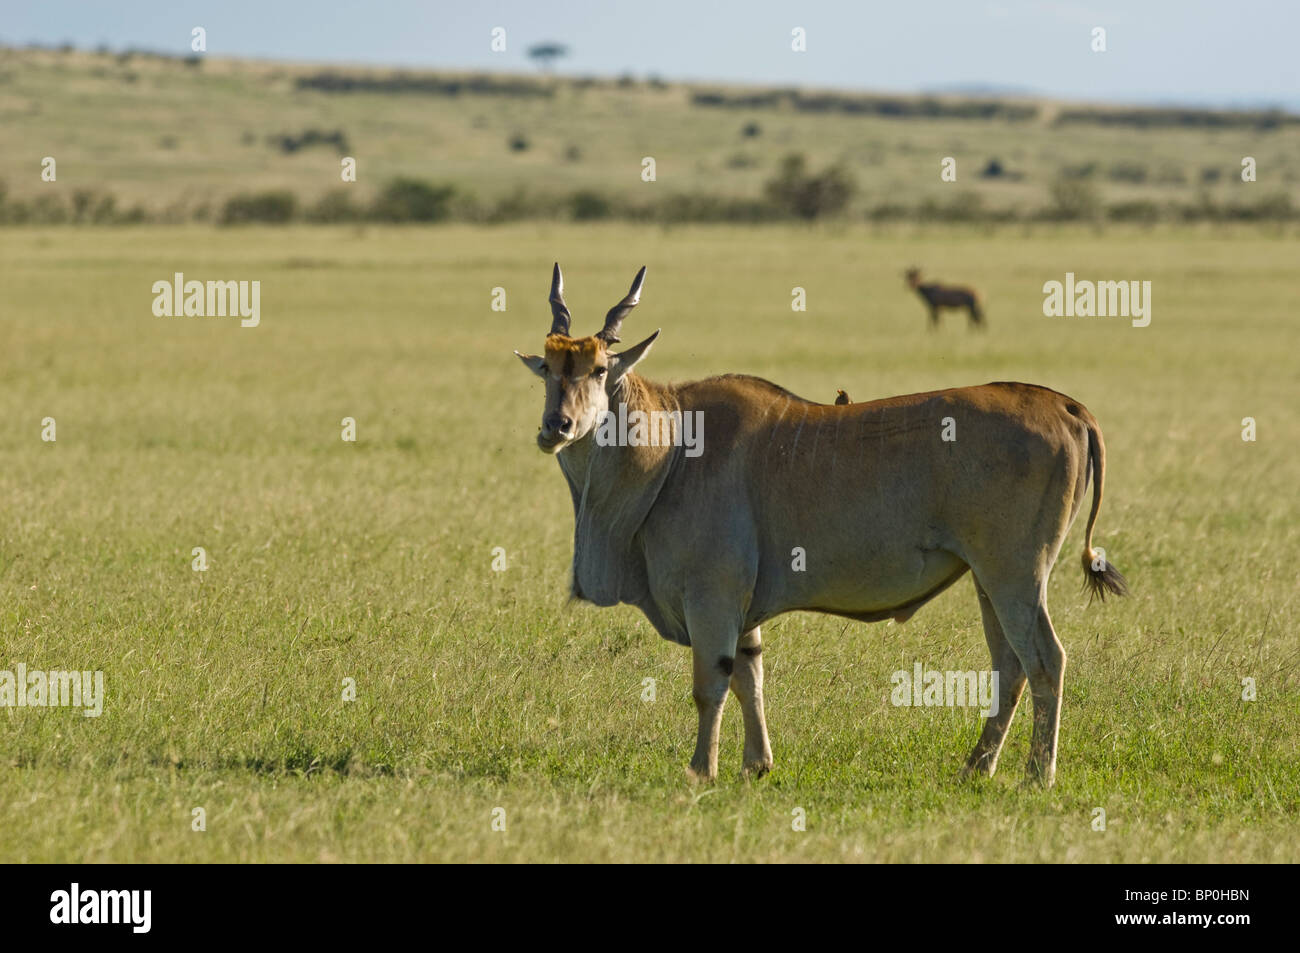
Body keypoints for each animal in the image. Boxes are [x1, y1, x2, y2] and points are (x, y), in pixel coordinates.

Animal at [516, 264, 1127, 786]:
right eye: (548, 368)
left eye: (599, 369)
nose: (555, 426)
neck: (671, 445)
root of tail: (1069, 408)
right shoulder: (739, 608)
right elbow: (750, 678)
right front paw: (756, 765)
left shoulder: (711, 596)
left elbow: (711, 684)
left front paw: (700, 771)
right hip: (988, 579)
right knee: (1010, 665)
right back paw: (976, 768)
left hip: (1014, 575)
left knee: (1045, 660)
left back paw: (1037, 776)